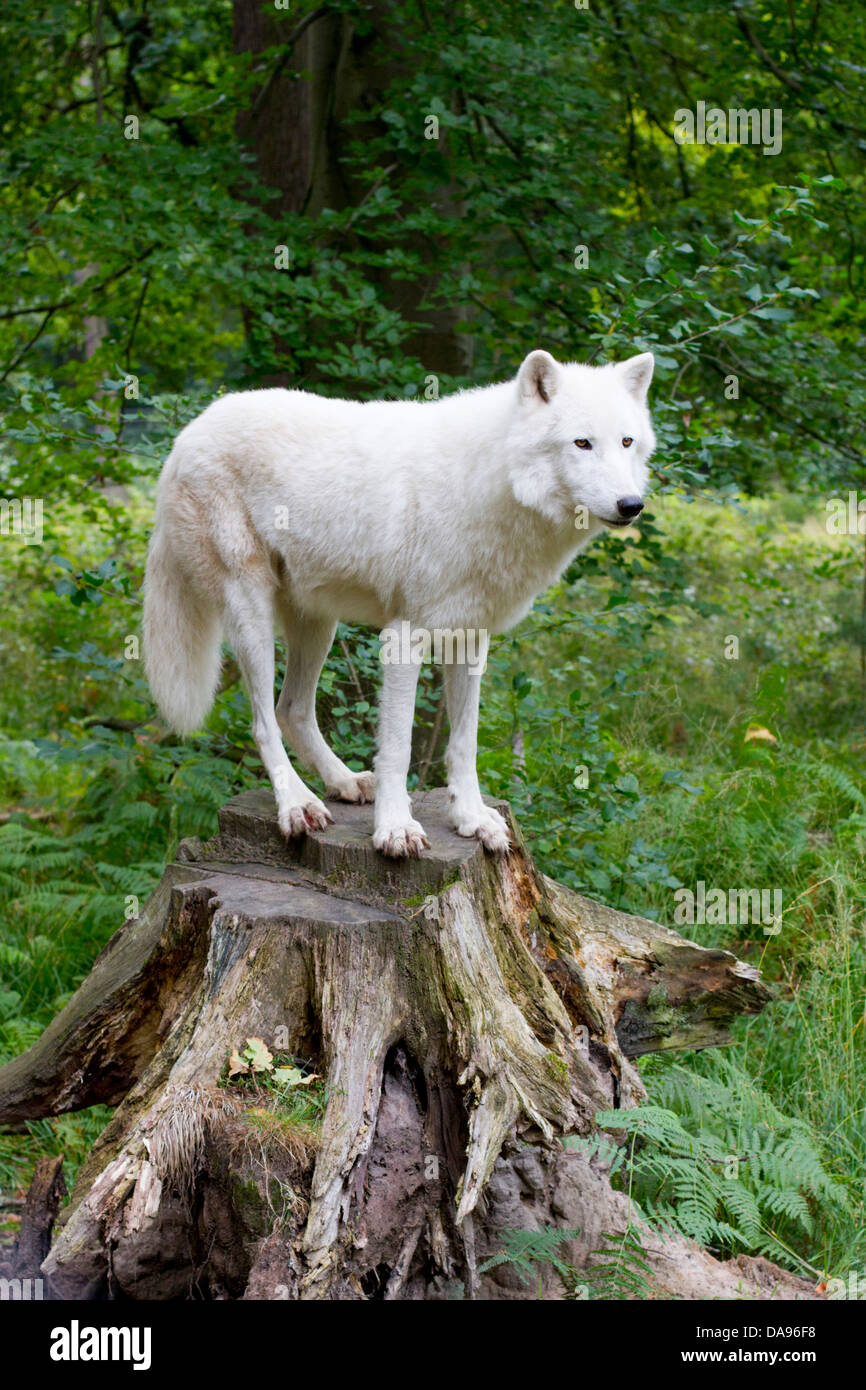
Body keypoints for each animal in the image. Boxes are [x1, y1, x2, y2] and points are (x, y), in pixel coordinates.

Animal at [143, 349, 655, 857]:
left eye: (626, 441)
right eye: (582, 443)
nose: (631, 504)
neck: (489, 481)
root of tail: (187, 434)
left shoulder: (470, 637)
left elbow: (464, 743)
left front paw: (472, 819)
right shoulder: (405, 635)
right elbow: (398, 747)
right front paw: (395, 829)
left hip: (317, 621)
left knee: (293, 709)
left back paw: (345, 782)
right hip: (251, 611)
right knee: (264, 722)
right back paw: (297, 805)